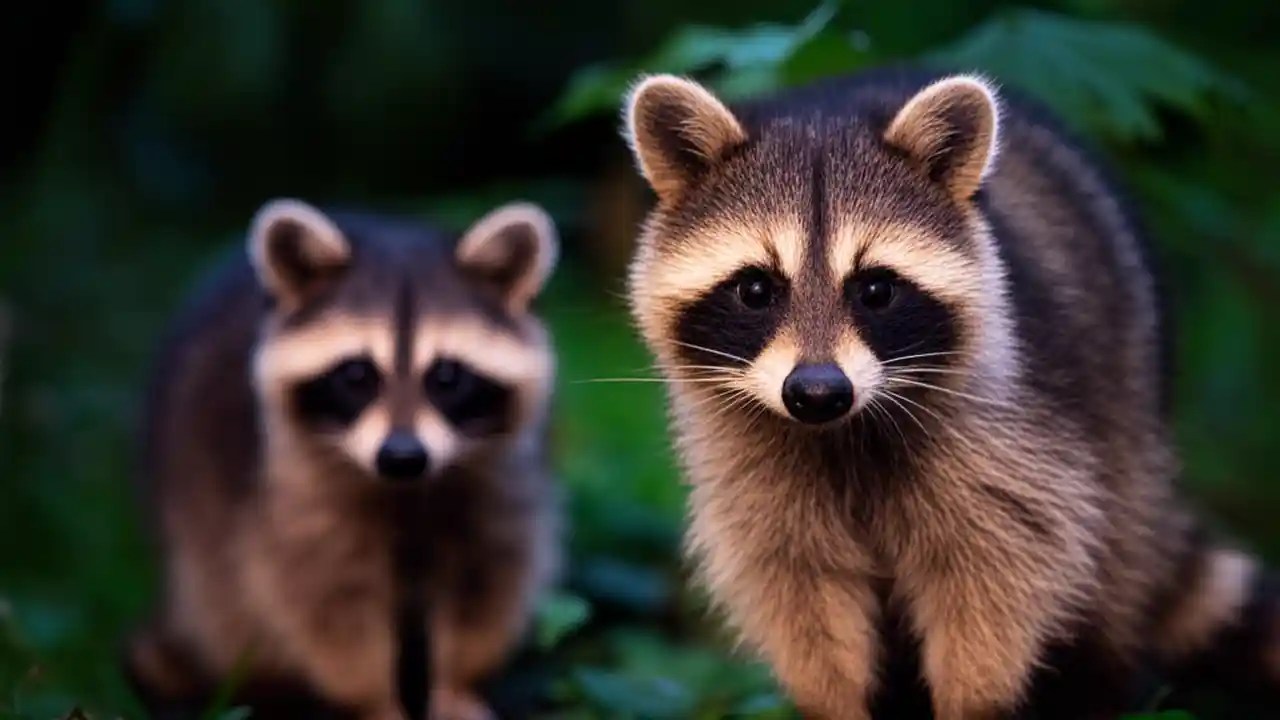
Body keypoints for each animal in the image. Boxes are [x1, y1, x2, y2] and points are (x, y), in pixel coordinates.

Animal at [127, 199, 560, 720]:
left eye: (447, 377)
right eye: (357, 375)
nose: (402, 455)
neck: (406, 490)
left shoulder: (498, 489)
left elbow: (483, 589)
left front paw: (454, 685)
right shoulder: (299, 501)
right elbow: (329, 605)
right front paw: (376, 699)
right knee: (225, 603)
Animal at [621, 70, 1280, 719]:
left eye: (876, 290)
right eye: (756, 289)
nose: (817, 391)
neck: (843, 433)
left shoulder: (1013, 434)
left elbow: (994, 577)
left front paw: (977, 700)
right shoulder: (750, 467)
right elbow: (801, 588)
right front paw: (835, 701)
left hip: (1127, 396)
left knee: (1113, 568)